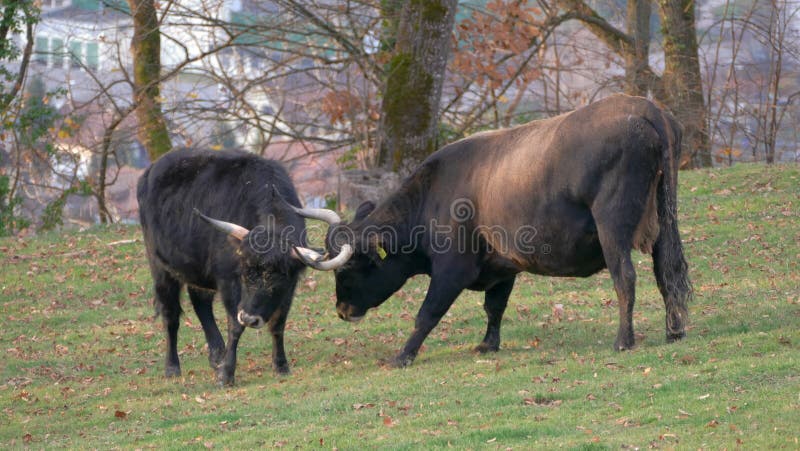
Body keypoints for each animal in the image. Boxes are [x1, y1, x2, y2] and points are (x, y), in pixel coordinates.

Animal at [137, 148, 344, 385]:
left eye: (278, 279)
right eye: (245, 273)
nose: (249, 318)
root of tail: (151, 171)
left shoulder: (289, 289)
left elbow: (278, 324)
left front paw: (281, 365)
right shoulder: (228, 281)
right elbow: (234, 327)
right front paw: (226, 374)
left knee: (201, 304)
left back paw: (216, 356)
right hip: (161, 269)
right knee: (170, 314)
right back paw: (172, 367)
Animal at [292, 94, 693, 368]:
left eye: (348, 269)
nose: (342, 310)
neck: (434, 194)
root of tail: (645, 107)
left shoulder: (452, 270)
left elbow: (427, 313)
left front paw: (402, 356)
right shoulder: (503, 266)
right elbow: (494, 307)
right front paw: (488, 344)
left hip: (613, 230)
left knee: (625, 278)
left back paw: (624, 340)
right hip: (663, 224)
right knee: (667, 273)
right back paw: (674, 331)